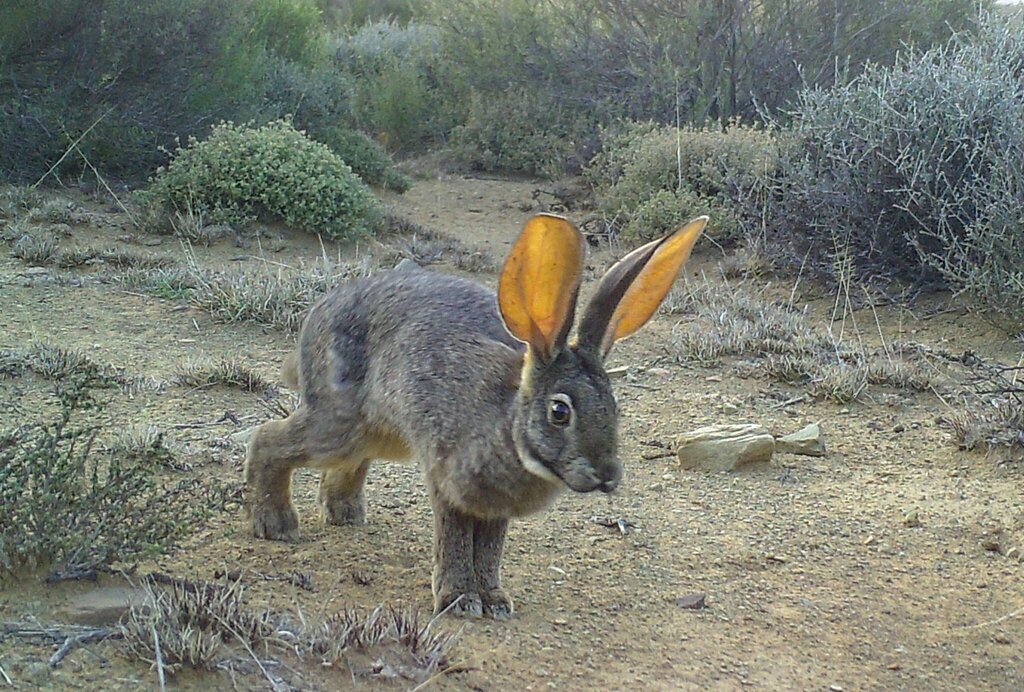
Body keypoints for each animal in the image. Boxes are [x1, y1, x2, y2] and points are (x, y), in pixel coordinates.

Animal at [244, 213, 707, 619]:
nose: (608, 476)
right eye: (560, 411)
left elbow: (488, 550)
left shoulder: (494, 507)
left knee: (349, 461)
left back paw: (345, 513)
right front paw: (459, 600)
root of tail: (319, 311)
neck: (507, 426)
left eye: (615, 405)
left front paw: (495, 601)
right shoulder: (449, 480)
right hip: (338, 422)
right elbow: (455, 540)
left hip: (379, 436)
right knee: (269, 438)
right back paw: (275, 524)